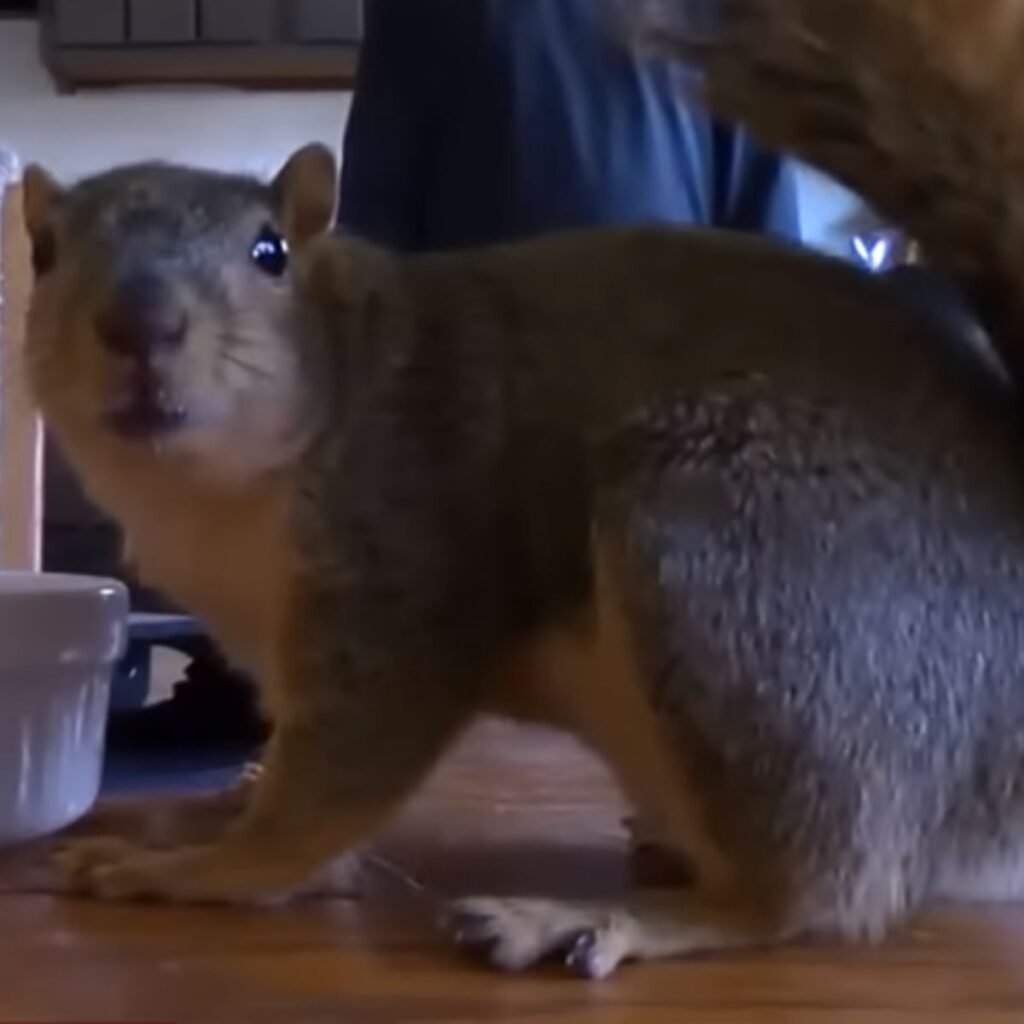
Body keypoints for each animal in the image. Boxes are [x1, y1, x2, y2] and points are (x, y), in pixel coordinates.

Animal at [20, 141, 1024, 979]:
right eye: (44, 253)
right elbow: (283, 765)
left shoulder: (402, 558)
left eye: (270, 252)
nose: (140, 321)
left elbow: (333, 787)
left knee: (820, 887)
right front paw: (202, 811)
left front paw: (202, 865)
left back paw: (600, 918)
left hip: (748, 592)